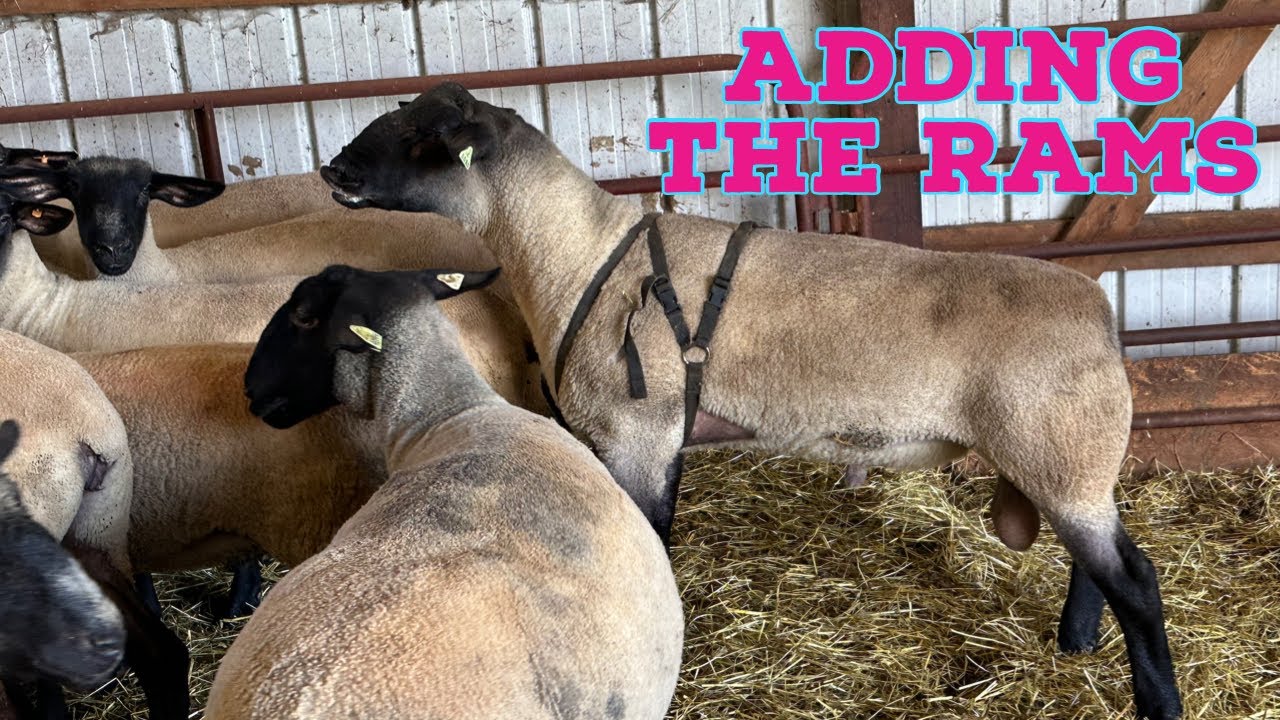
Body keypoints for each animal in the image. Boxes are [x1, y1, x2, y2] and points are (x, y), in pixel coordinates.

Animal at [320, 81, 1181, 720]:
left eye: (421, 138)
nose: (332, 169)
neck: (580, 254)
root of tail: (1097, 310)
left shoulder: (640, 431)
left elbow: (654, 540)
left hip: (1058, 448)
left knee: (1135, 579)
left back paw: (1157, 700)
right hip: (1065, 460)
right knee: (1095, 565)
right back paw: (1075, 642)